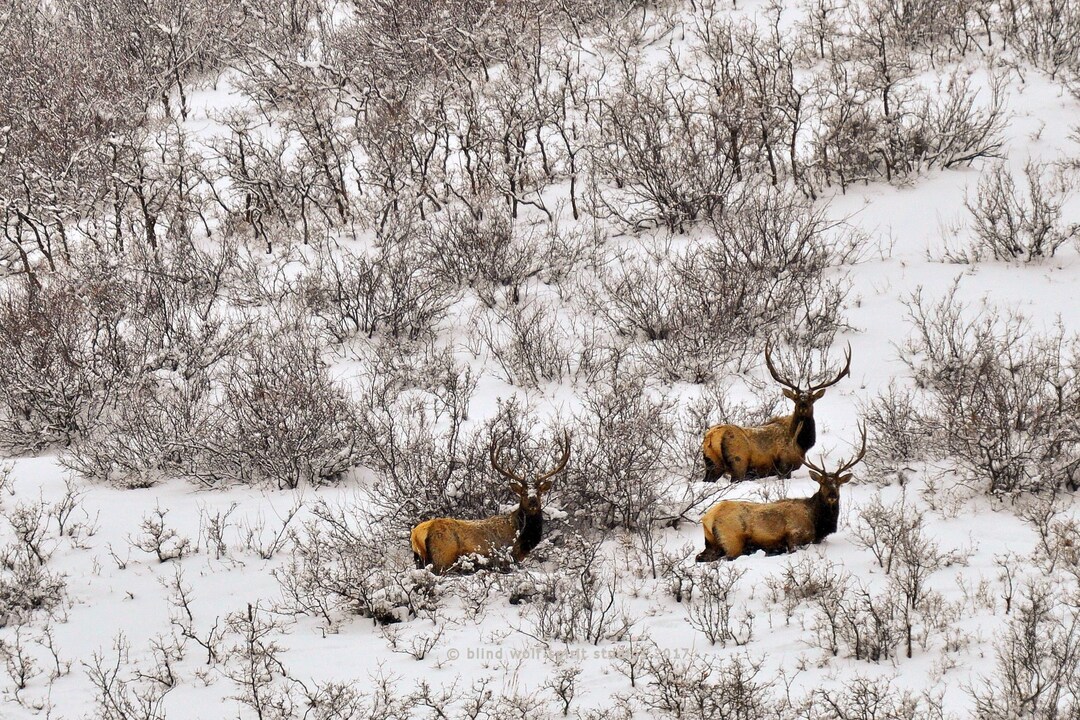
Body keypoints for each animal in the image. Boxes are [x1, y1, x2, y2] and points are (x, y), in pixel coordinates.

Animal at [410, 433, 570, 574]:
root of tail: (417, 534)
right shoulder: (507, 555)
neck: (523, 536)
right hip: (443, 554)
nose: (533, 501)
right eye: (524, 493)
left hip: (421, 559)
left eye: (539, 493)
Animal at [696, 425, 866, 561]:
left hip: (711, 543)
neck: (818, 522)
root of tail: (707, 518)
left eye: (838, 484)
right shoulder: (794, 534)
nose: (832, 495)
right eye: (822, 482)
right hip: (732, 540)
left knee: (699, 557)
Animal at [701, 342, 851, 482]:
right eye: (796, 398)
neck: (802, 443)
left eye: (811, 399)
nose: (803, 406)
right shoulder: (784, 466)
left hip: (712, 465)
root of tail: (712, 436)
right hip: (738, 464)